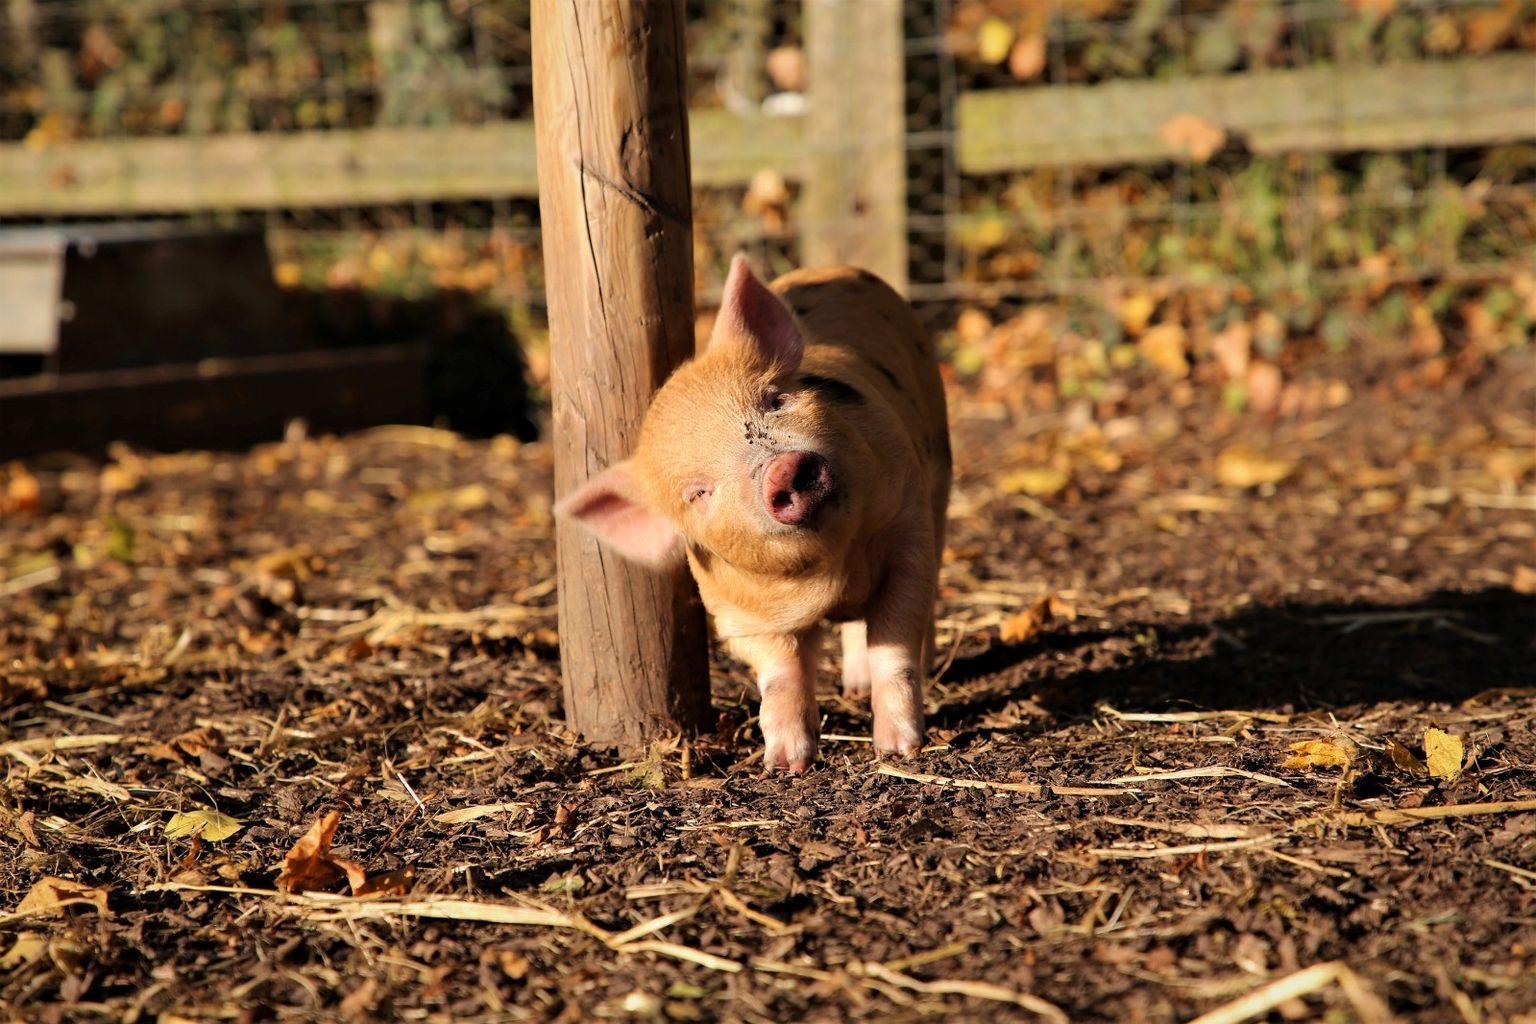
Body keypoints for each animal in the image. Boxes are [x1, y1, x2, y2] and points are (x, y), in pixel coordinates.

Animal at [556, 255, 950, 771]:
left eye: (776, 400)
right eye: (698, 492)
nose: (782, 469)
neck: (832, 567)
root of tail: (837, 267)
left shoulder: (908, 525)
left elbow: (894, 642)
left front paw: (899, 750)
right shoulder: (734, 612)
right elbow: (780, 670)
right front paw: (785, 765)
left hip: (939, 469)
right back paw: (850, 689)